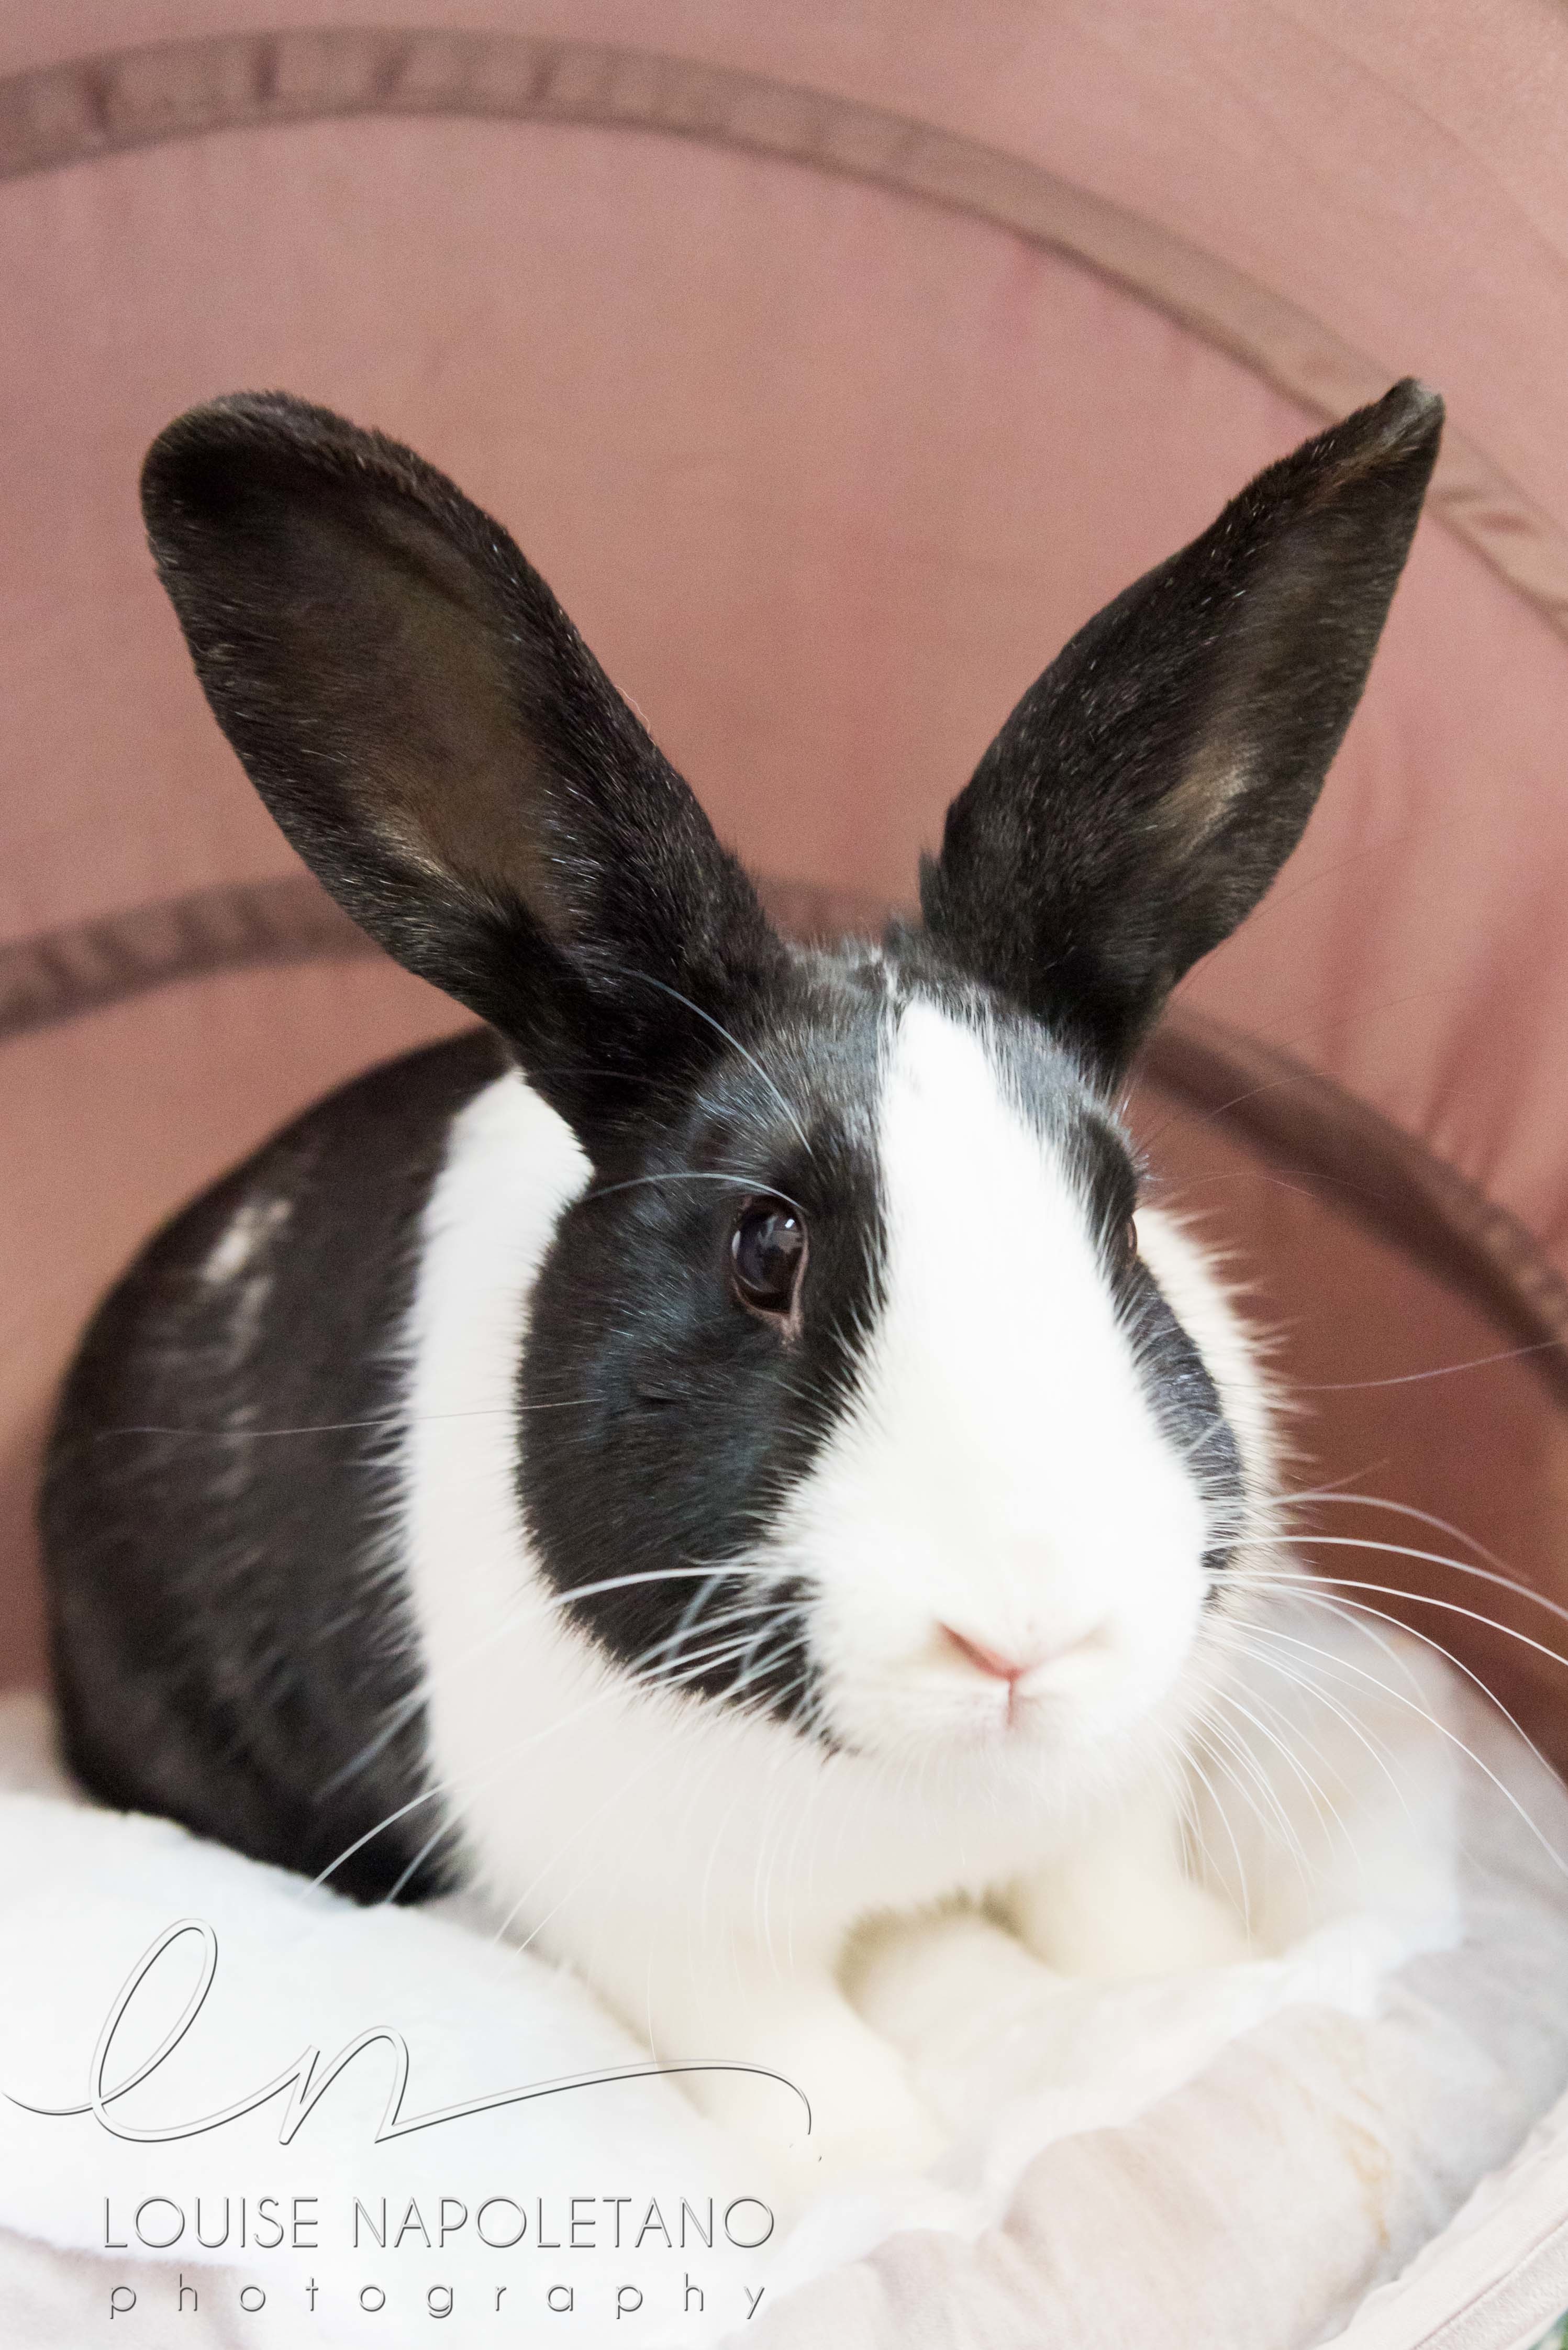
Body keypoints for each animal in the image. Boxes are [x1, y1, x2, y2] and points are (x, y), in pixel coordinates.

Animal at [40, 377, 1442, 2182]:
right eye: (761, 1249)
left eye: (1119, 1215)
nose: (1025, 1636)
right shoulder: (668, 1932)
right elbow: (800, 2065)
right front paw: (892, 2169)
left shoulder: (1112, 1804)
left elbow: (1116, 1914)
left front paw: (1213, 1985)